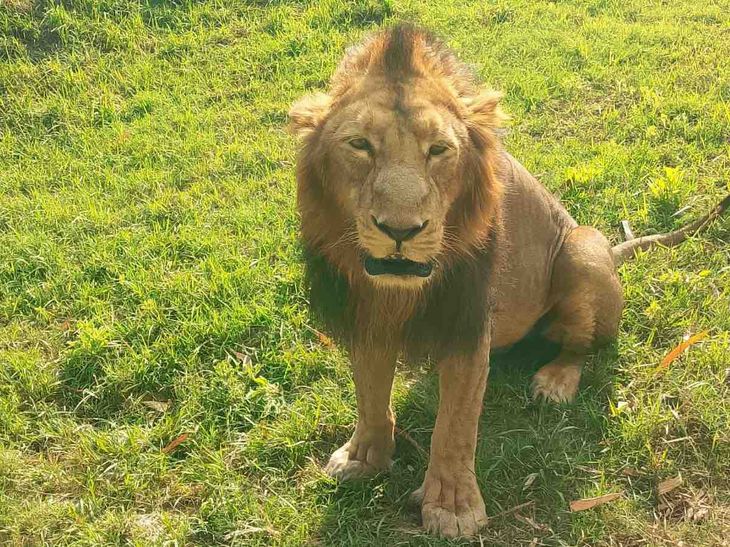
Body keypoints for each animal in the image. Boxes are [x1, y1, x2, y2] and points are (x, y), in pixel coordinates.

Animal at [288, 24, 729, 538]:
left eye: (438, 151)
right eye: (360, 145)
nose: (400, 230)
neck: (397, 295)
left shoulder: (469, 326)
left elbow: (454, 428)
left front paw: (452, 507)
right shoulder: (366, 314)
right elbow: (370, 394)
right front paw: (363, 457)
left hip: (581, 249)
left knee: (581, 347)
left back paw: (555, 382)